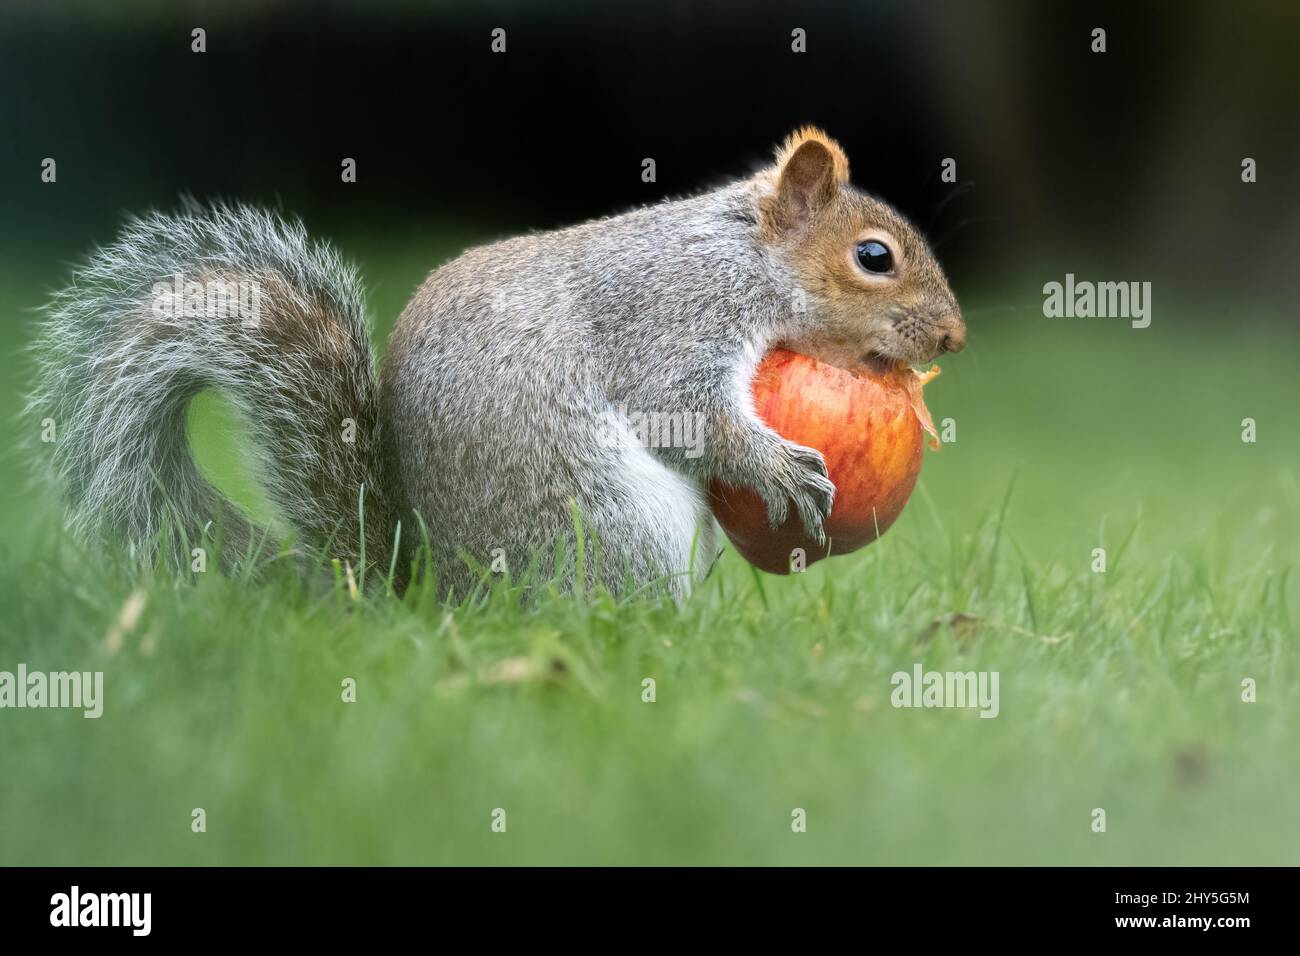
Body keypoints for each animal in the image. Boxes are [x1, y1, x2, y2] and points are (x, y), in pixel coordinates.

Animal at [31, 128, 964, 599]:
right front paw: (777, 466)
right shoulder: (670, 318)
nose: (955, 338)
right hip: (613, 528)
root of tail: (441, 600)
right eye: (873, 257)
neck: (747, 258)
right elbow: (690, 412)